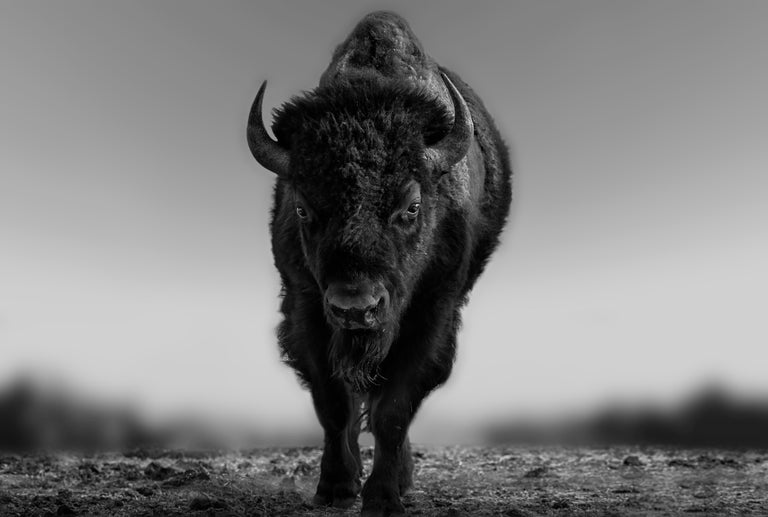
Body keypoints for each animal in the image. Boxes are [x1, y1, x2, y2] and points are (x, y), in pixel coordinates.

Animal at [247, 11, 512, 517]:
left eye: (411, 207)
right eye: (303, 209)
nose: (356, 307)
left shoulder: (432, 313)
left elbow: (394, 411)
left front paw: (385, 496)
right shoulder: (307, 308)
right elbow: (335, 404)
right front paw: (335, 487)